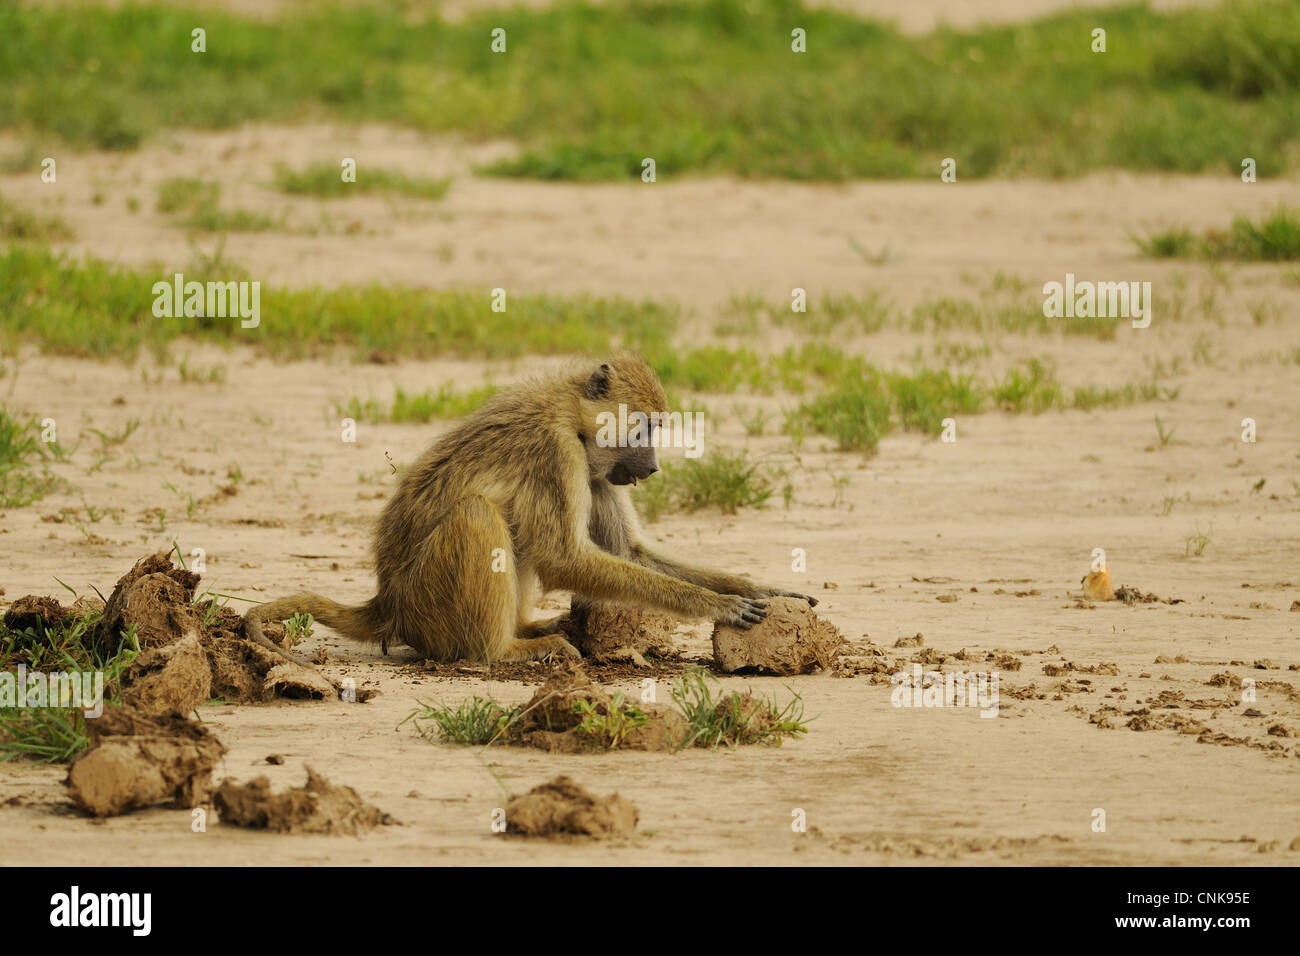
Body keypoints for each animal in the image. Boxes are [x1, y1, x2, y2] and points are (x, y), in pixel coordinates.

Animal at [243, 355, 816, 664]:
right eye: (644, 430)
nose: (652, 469)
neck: (575, 420)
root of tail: (387, 602)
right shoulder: (556, 454)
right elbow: (564, 558)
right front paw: (719, 605)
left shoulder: (598, 474)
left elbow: (629, 551)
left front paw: (764, 589)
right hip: (428, 606)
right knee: (478, 515)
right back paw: (504, 651)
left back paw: (531, 630)